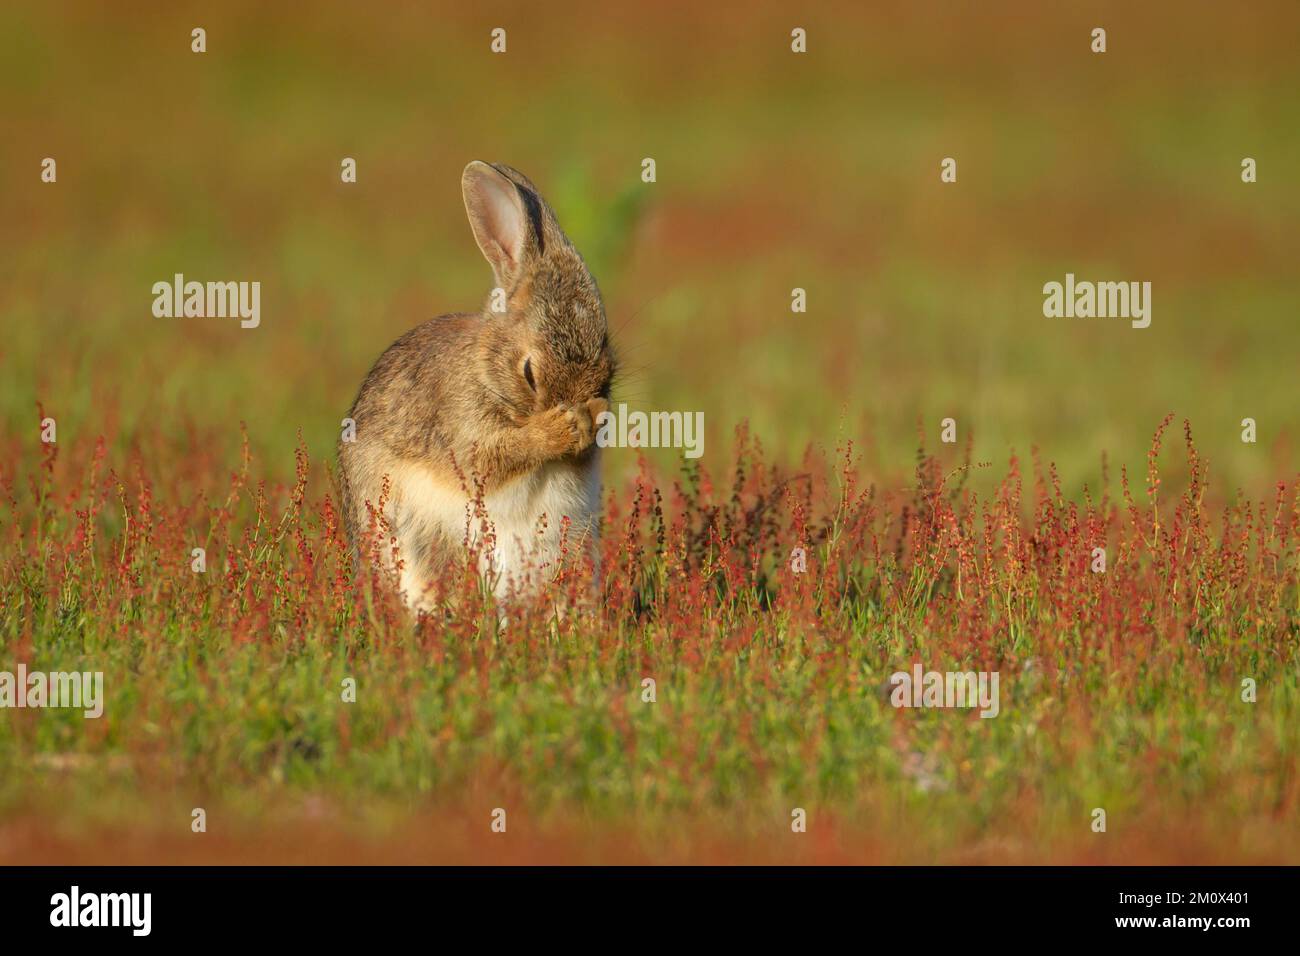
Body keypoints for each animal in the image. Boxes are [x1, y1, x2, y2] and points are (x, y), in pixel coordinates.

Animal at [338, 161, 614, 612]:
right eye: (529, 373)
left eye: (607, 358)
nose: (583, 407)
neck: (488, 374)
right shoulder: (462, 431)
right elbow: (490, 459)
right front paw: (562, 428)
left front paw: (592, 419)